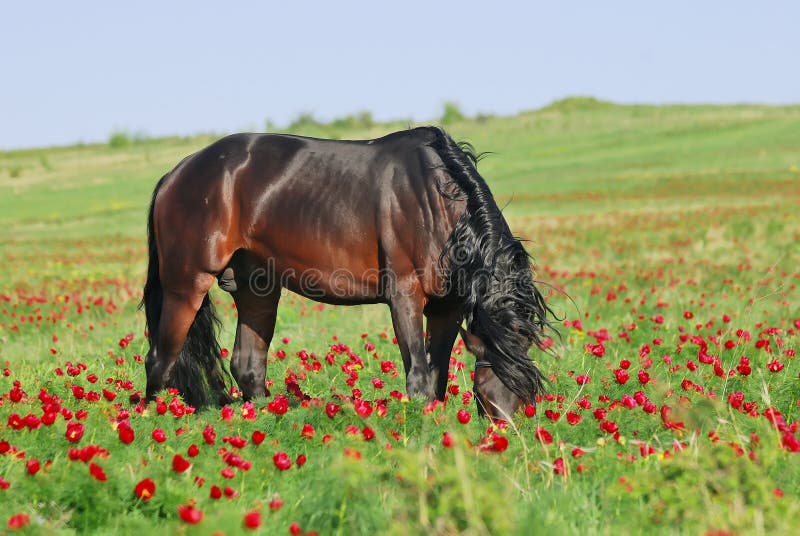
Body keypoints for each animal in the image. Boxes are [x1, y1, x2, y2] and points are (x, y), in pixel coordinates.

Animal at [141, 126, 554, 420]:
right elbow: (419, 378)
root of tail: (175, 174)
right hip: (186, 285)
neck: (435, 200)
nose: (503, 440)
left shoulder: (446, 308)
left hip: (258, 291)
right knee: (161, 359)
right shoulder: (404, 295)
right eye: (487, 392)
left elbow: (437, 381)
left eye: (526, 395)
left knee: (247, 365)